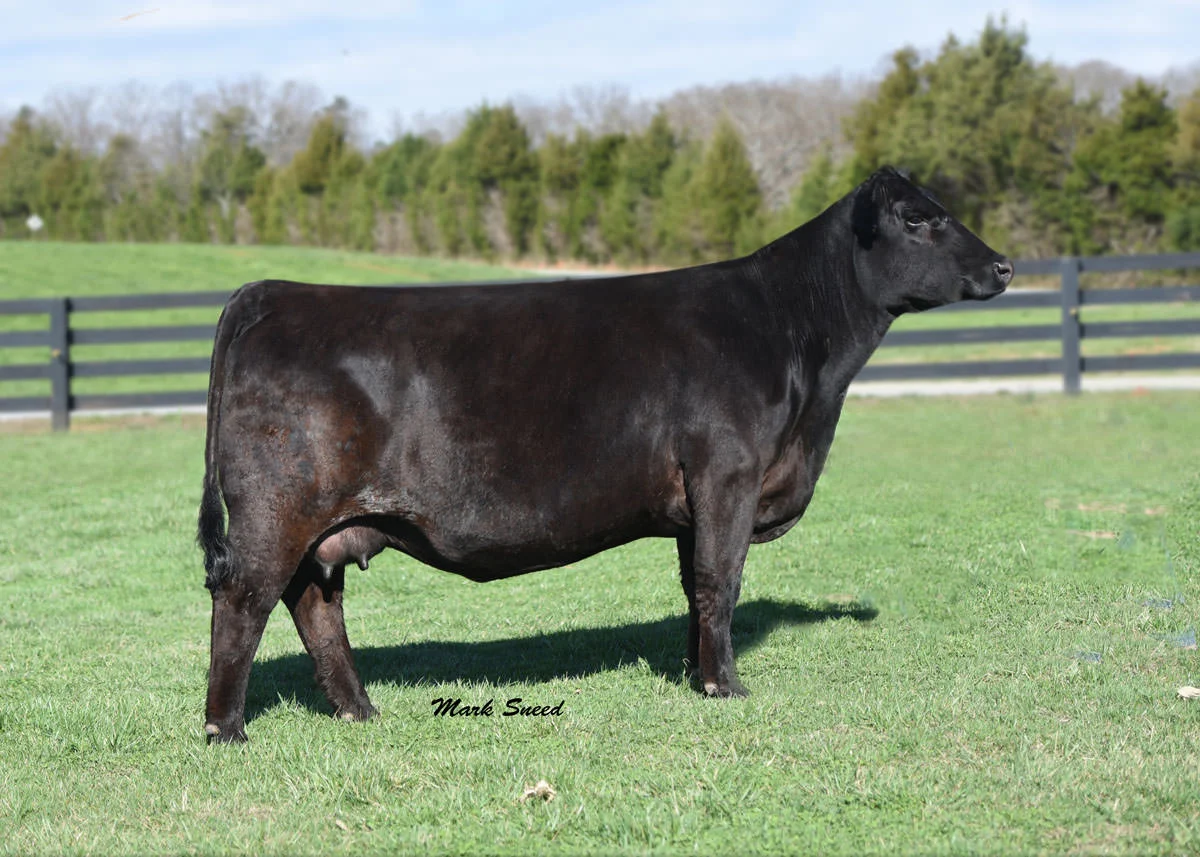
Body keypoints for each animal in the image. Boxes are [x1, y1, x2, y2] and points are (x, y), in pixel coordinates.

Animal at [198, 166, 1012, 742]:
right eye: (918, 218)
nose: (1004, 267)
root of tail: (271, 291)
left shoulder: (696, 498)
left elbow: (695, 586)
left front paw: (694, 673)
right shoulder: (728, 474)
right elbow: (722, 580)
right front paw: (727, 687)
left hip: (321, 525)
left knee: (314, 604)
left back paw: (358, 710)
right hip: (277, 508)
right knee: (243, 600)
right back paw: (225, 728)